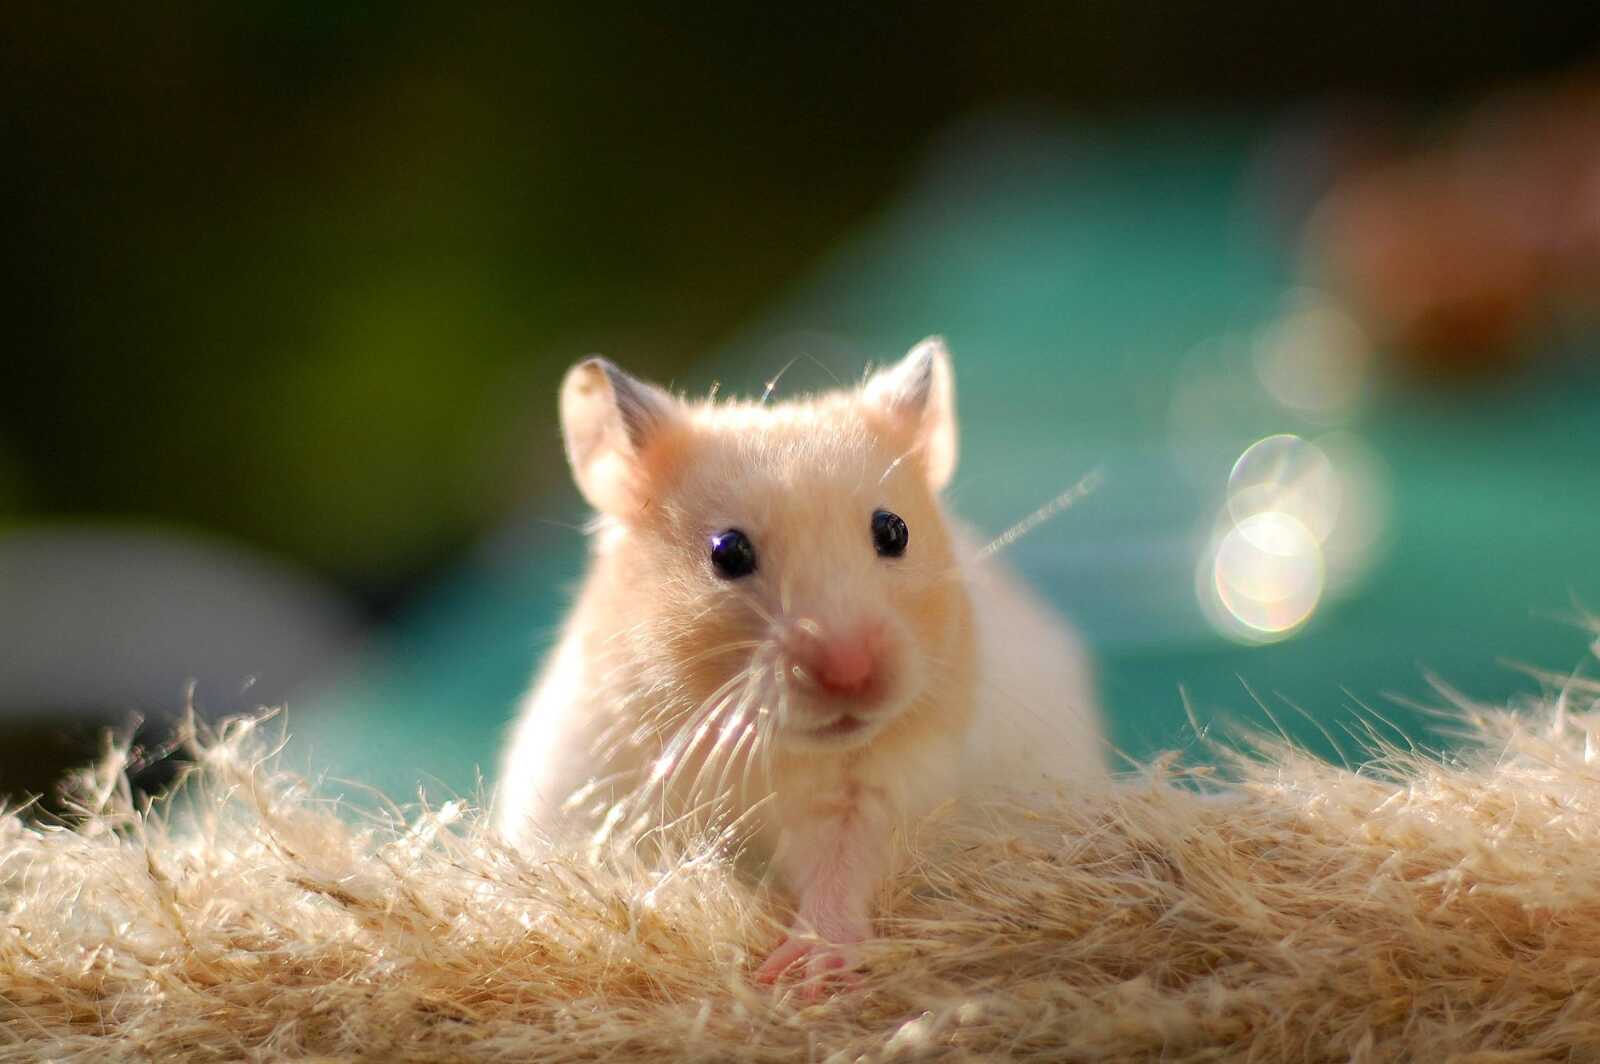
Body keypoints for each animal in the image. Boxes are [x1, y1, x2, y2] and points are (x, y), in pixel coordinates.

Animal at [494, 338, 1103, 988]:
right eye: (728, 552)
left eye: (894, 531)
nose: (851, 674)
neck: (762, 750)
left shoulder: (885, 786)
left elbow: (843, 865)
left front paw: (805, 974)